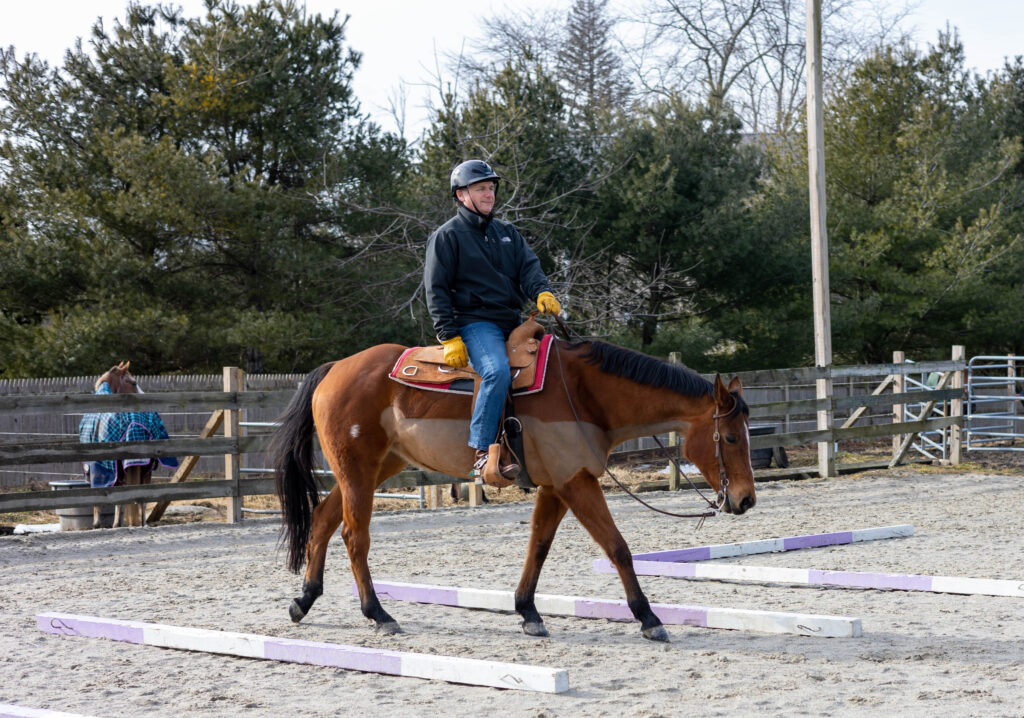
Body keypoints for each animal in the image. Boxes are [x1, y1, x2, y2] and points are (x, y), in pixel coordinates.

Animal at [270, 335, 756, 642]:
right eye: (731, 438)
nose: (745, 499)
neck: (585, 394)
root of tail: (335, 368)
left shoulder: (557, 485)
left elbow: (537, 545)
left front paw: (528, 612)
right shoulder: (576, 482)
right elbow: (617, 547)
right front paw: (649, 618)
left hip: (376, 467)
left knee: (323, 519)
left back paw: (303, 600)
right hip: (358, 470)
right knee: (354, 536)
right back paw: (378, 614)